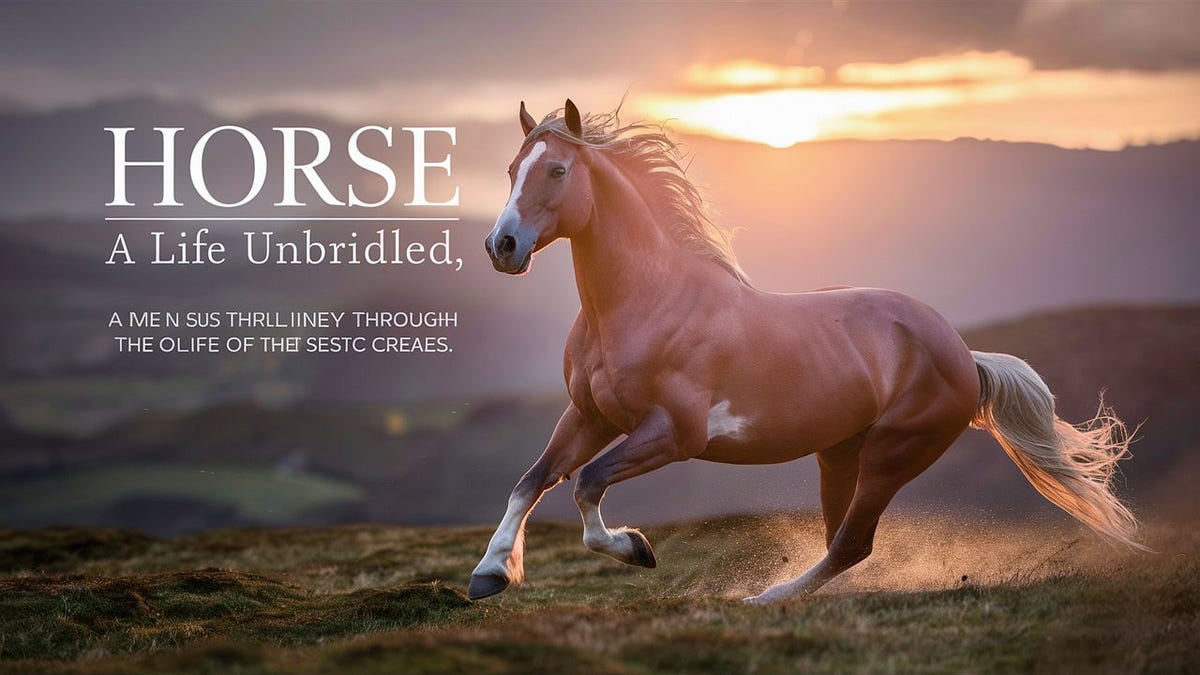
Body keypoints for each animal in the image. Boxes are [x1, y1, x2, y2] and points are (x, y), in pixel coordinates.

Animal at [470, 99, 1145, 604]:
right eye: (510, 169)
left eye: (557, 171)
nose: (501, 247)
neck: (646, 304)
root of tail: (963, 354)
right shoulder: (590, 415)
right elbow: (531, 482)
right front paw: (490, 574)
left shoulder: (675, 433)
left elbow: (587, 484)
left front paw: (636, 548)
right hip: (838, 453)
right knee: (840, 541)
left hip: (893, 452)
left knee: (852, 543)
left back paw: (763, 598)